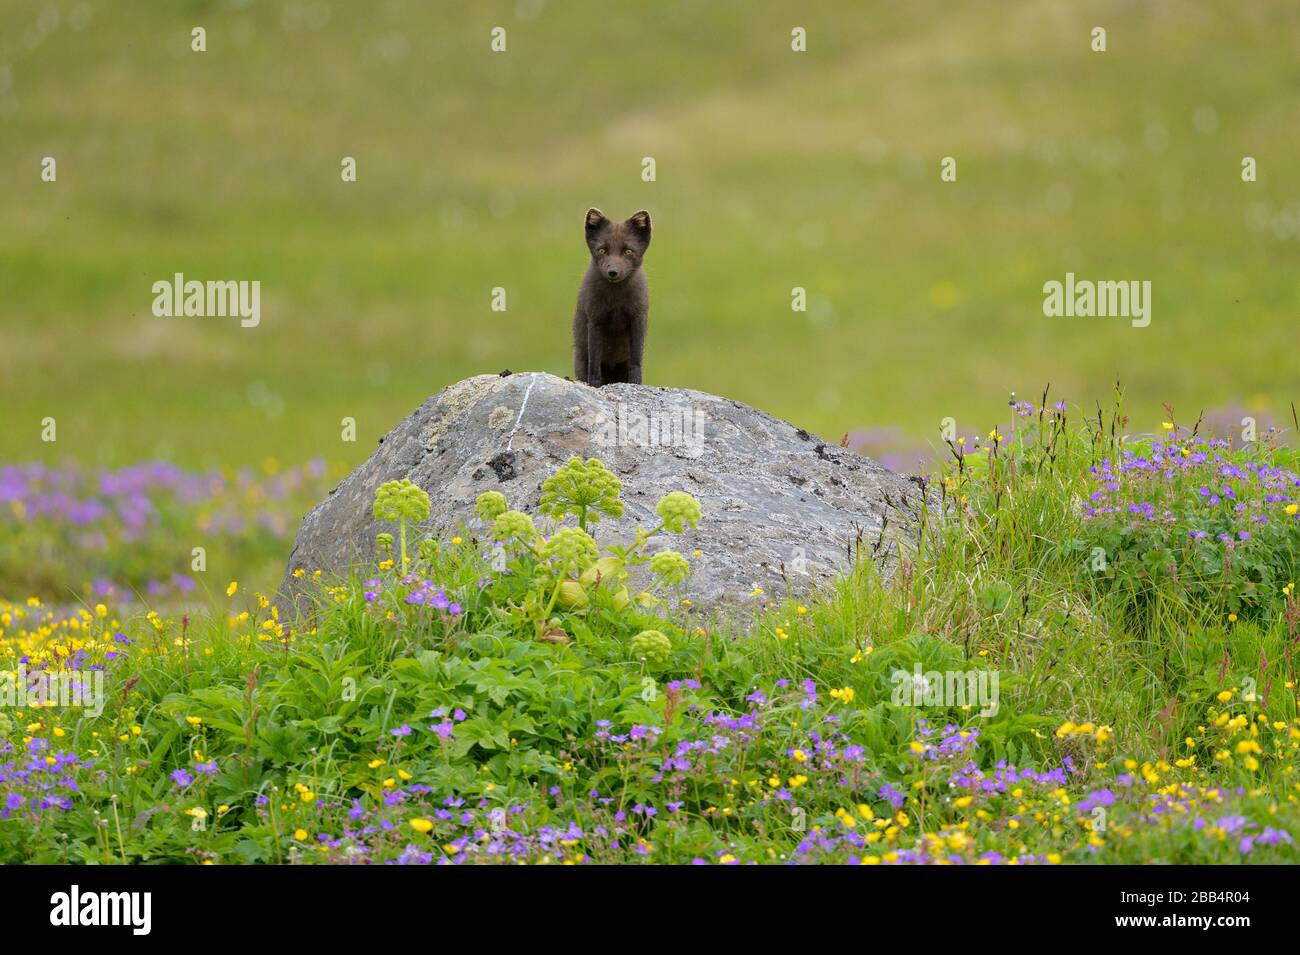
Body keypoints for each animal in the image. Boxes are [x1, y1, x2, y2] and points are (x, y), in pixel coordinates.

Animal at [572, 207, 651, 387]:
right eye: (602, 250)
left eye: (628, 251)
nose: (613, 272)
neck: (616, 302)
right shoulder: (594, 319)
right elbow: (594, 363)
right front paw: (594, 386)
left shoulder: (638, 317)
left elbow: (636, 359)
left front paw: (636, 383)